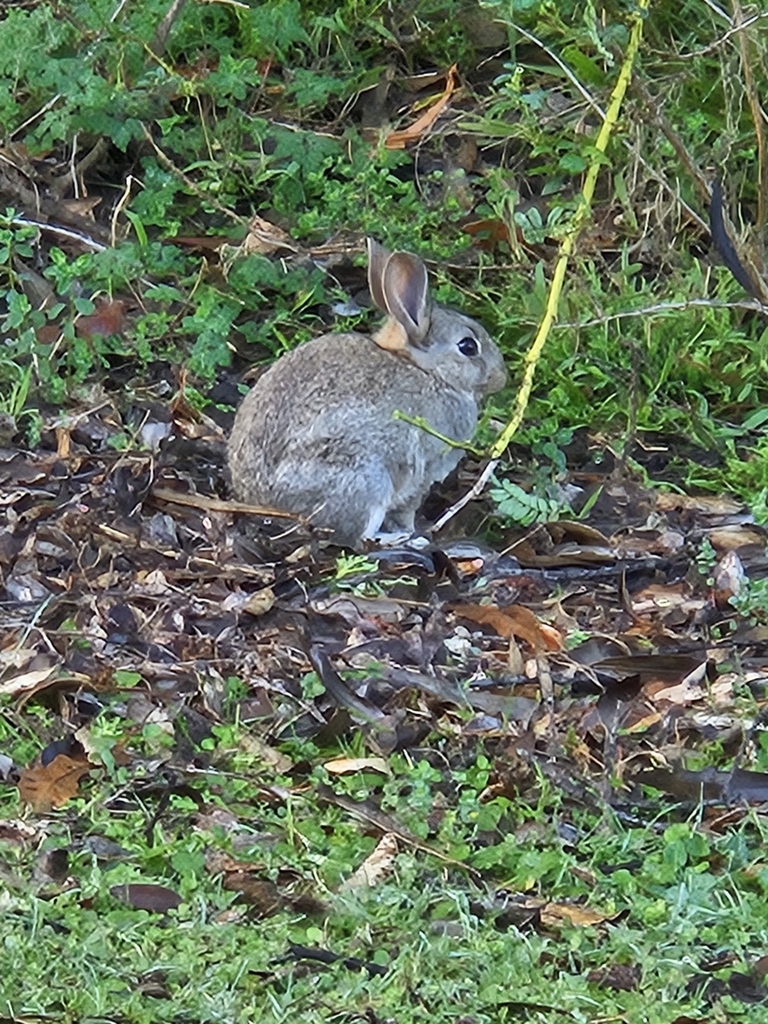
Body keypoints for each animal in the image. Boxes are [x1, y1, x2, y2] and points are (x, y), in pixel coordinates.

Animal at [228, 239, 507, 548]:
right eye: (468, 346)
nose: (501, 377)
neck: (426, 370)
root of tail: (264, 502)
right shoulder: (423, 469)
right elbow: (407, 509)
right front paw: (412, 532)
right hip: (366, 479)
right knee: (358, 538)